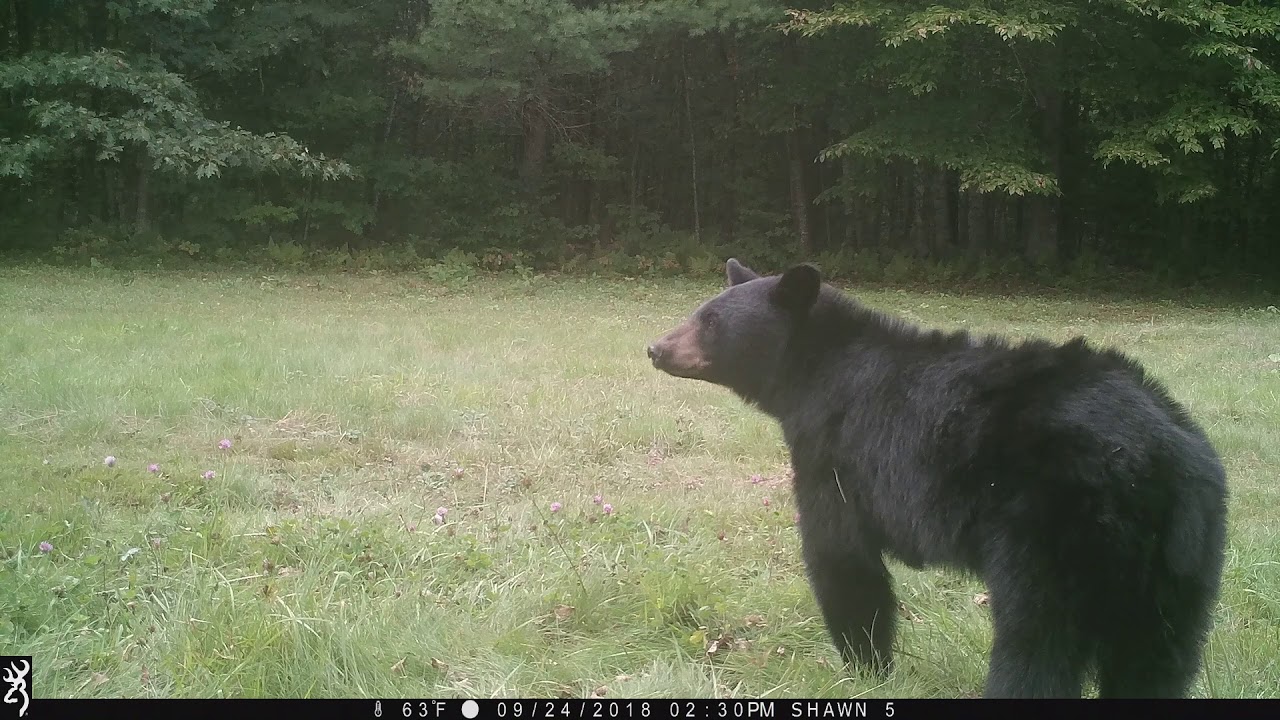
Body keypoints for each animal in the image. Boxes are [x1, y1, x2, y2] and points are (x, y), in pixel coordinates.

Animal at [646, 258, 1228, 699]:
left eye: (710, 320)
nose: (655, 347)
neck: (813, 376)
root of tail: (1154, 458)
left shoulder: (834, 456)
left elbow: (841, 558)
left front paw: (865, 669)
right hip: (1183, 554)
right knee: (1158, 655)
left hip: (1052, 528)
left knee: (1036, 642)